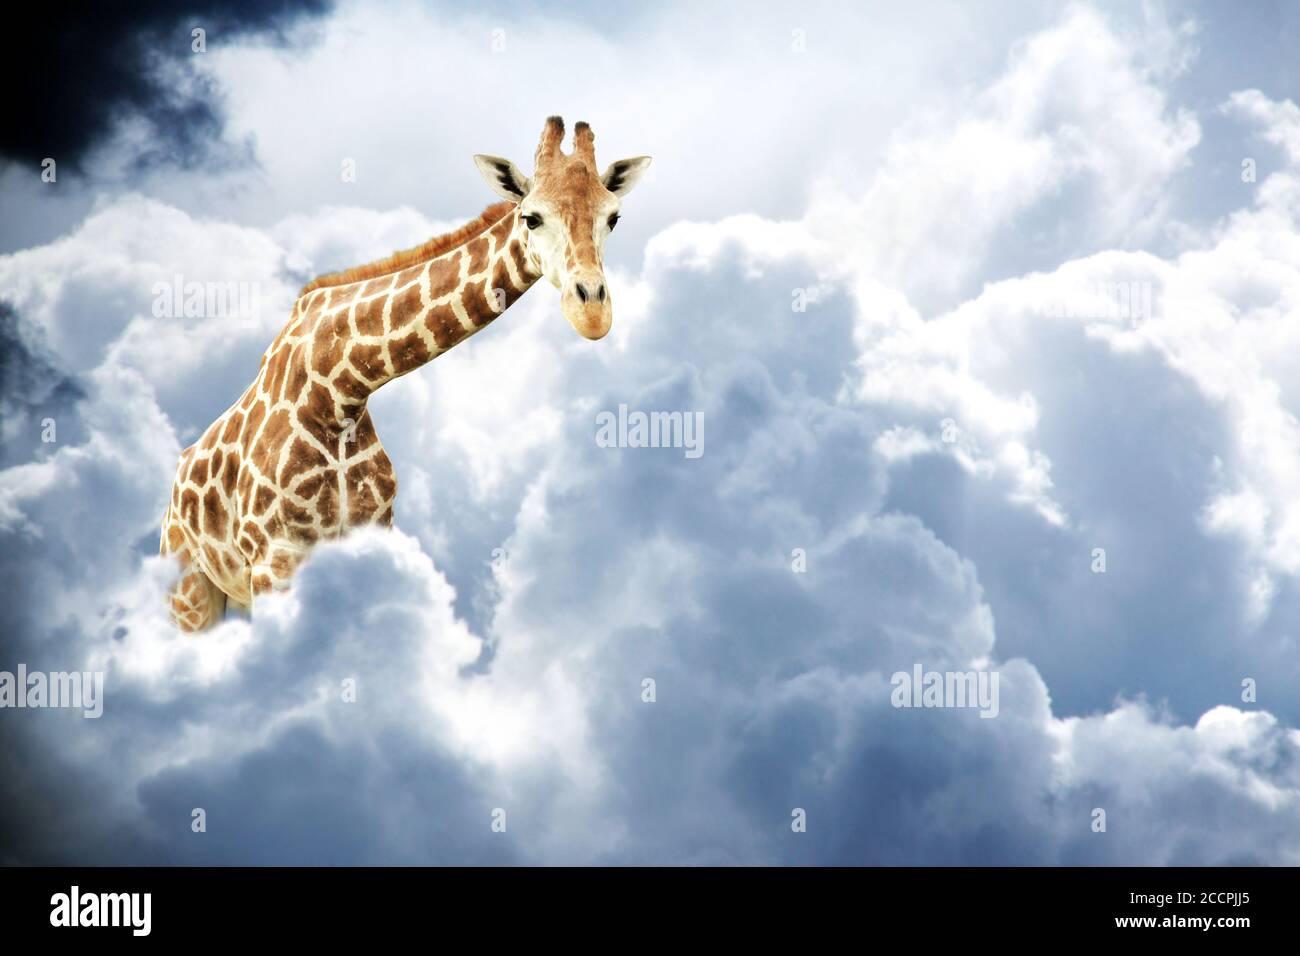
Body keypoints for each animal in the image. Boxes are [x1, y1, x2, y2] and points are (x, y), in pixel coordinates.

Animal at [160, 117, 651, 631]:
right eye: (531, 217)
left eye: (613, 217)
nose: (592, 314)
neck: (338, 390)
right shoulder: (274, 556)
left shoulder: (370, 539)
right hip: (191, 594)